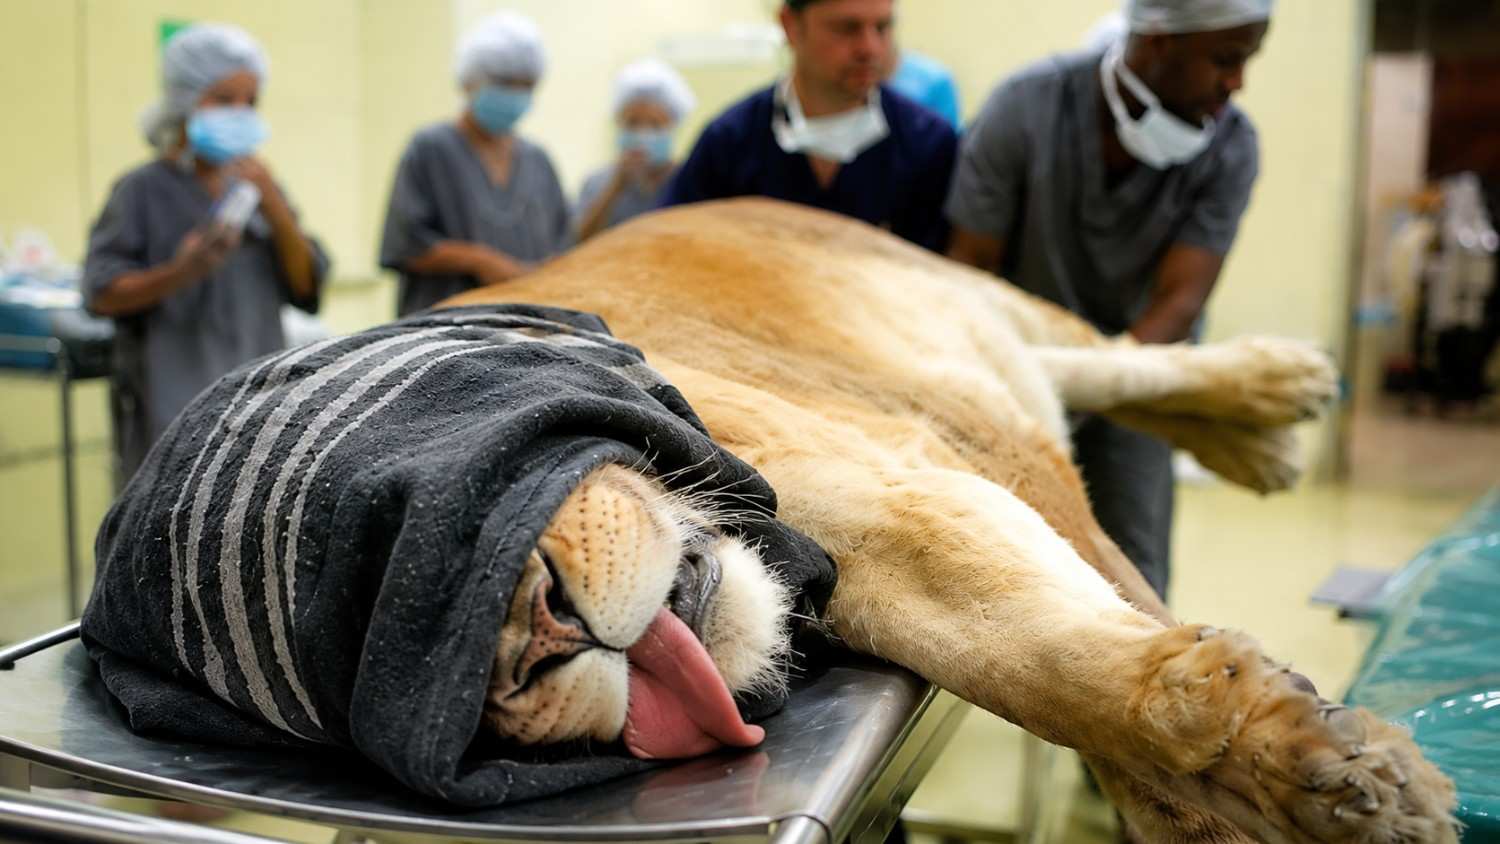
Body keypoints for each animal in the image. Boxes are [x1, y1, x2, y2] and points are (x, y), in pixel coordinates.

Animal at [444, 199, 1456, 843]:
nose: (527, 645)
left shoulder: (928, 482)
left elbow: (1100, 638)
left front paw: (1343, 776)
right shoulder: (918, 520)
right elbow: (1046, 669)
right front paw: (1329, 772)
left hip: (974, 293)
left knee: (1116, 354)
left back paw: (1277, 390)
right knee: (1074, 375)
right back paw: (1266, 430)